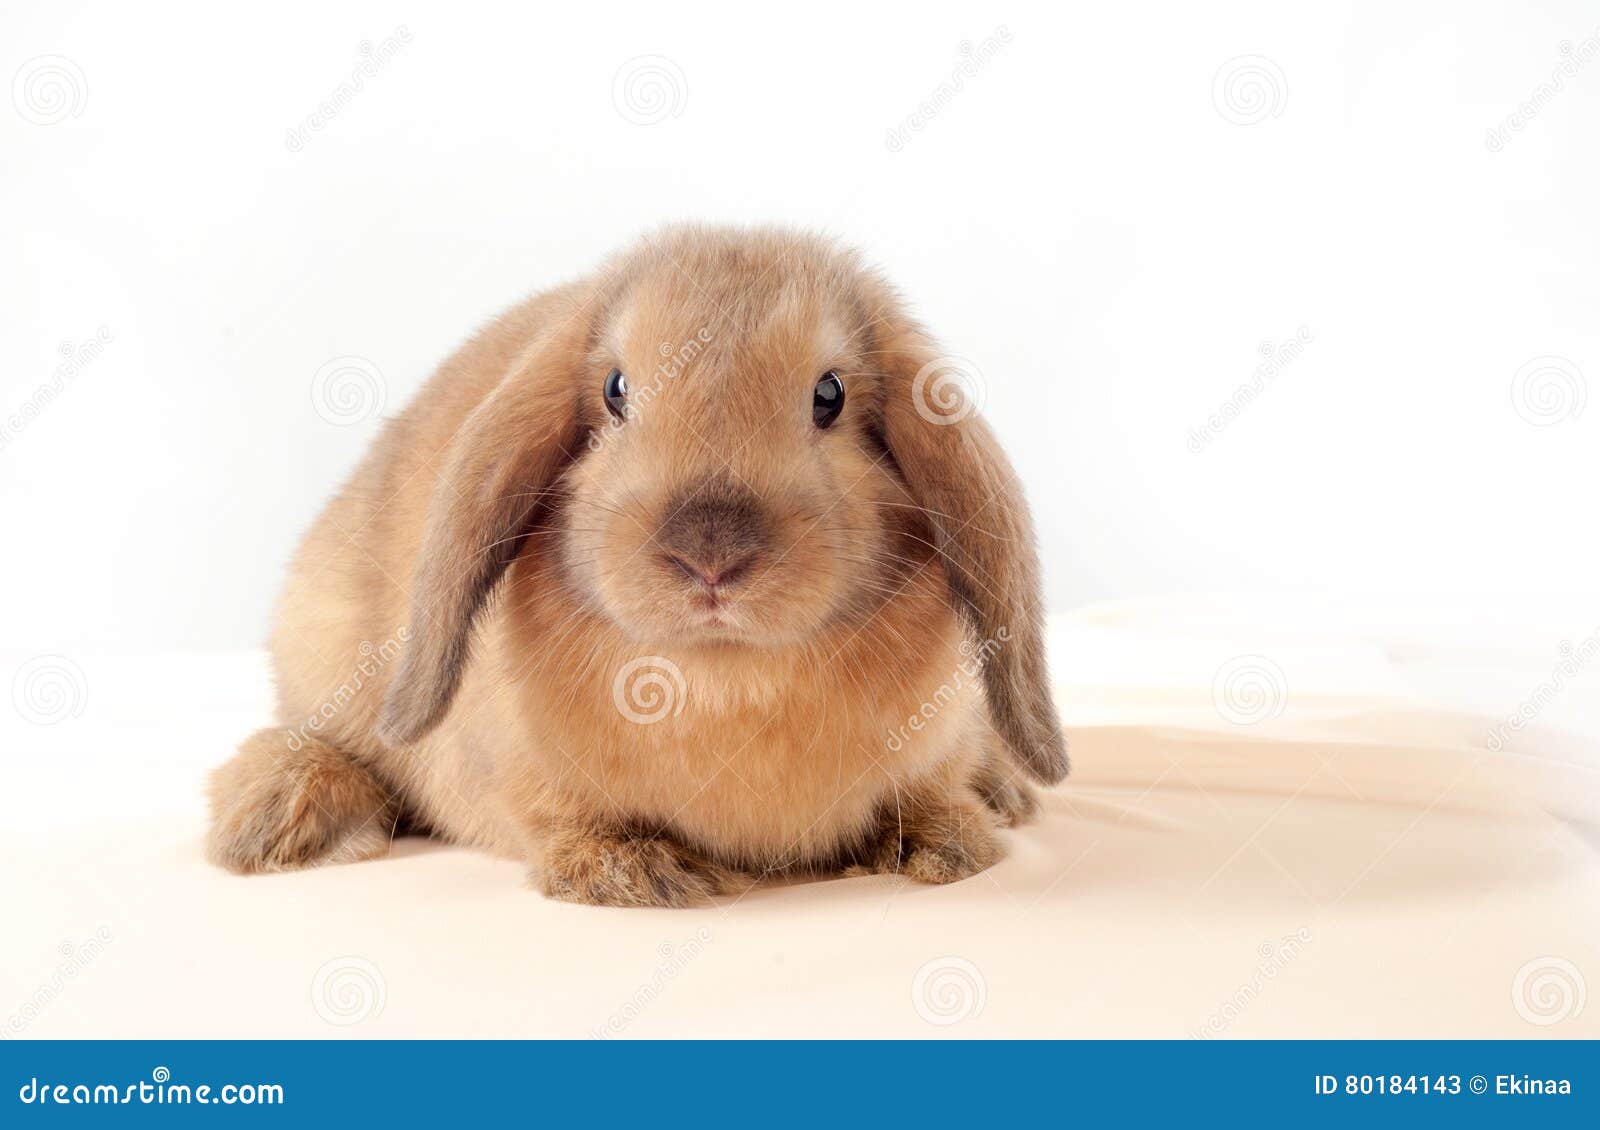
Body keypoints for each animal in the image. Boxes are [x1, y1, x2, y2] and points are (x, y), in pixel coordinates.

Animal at [206, 225, 1067, 906]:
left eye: (830, 394)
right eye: (616, 391)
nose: (710, 552)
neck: (725, 676)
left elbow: (929, 795)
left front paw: (943, 841)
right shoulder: (516, 780)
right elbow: (554, 818)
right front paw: (636, 870)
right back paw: (279, 817)